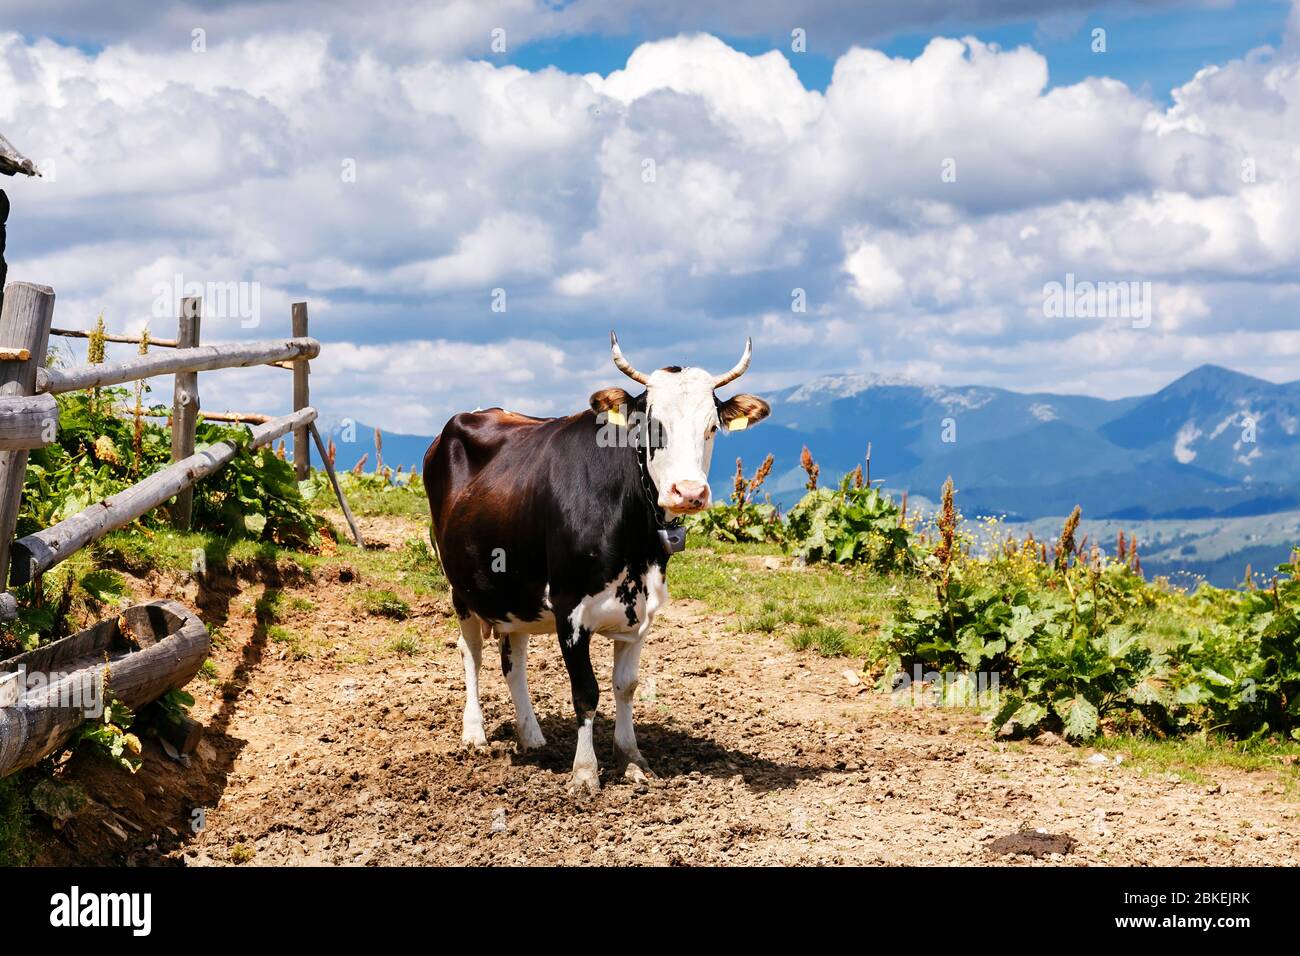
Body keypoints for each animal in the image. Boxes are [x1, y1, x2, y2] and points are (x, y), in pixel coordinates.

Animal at [423, 333, 770, 793]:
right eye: (652, 425)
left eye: (711, 427)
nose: (689, 492)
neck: (635, 541)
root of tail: (476, 414)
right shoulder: (570, 610)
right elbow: (586, 692)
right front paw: (585, 773)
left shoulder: (641, 611)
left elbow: (625, 687)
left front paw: (632, 759)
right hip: (460, 586)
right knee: (472, 652)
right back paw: (475, 733)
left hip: (515, 592)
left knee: (513, 662)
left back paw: (531, 735)